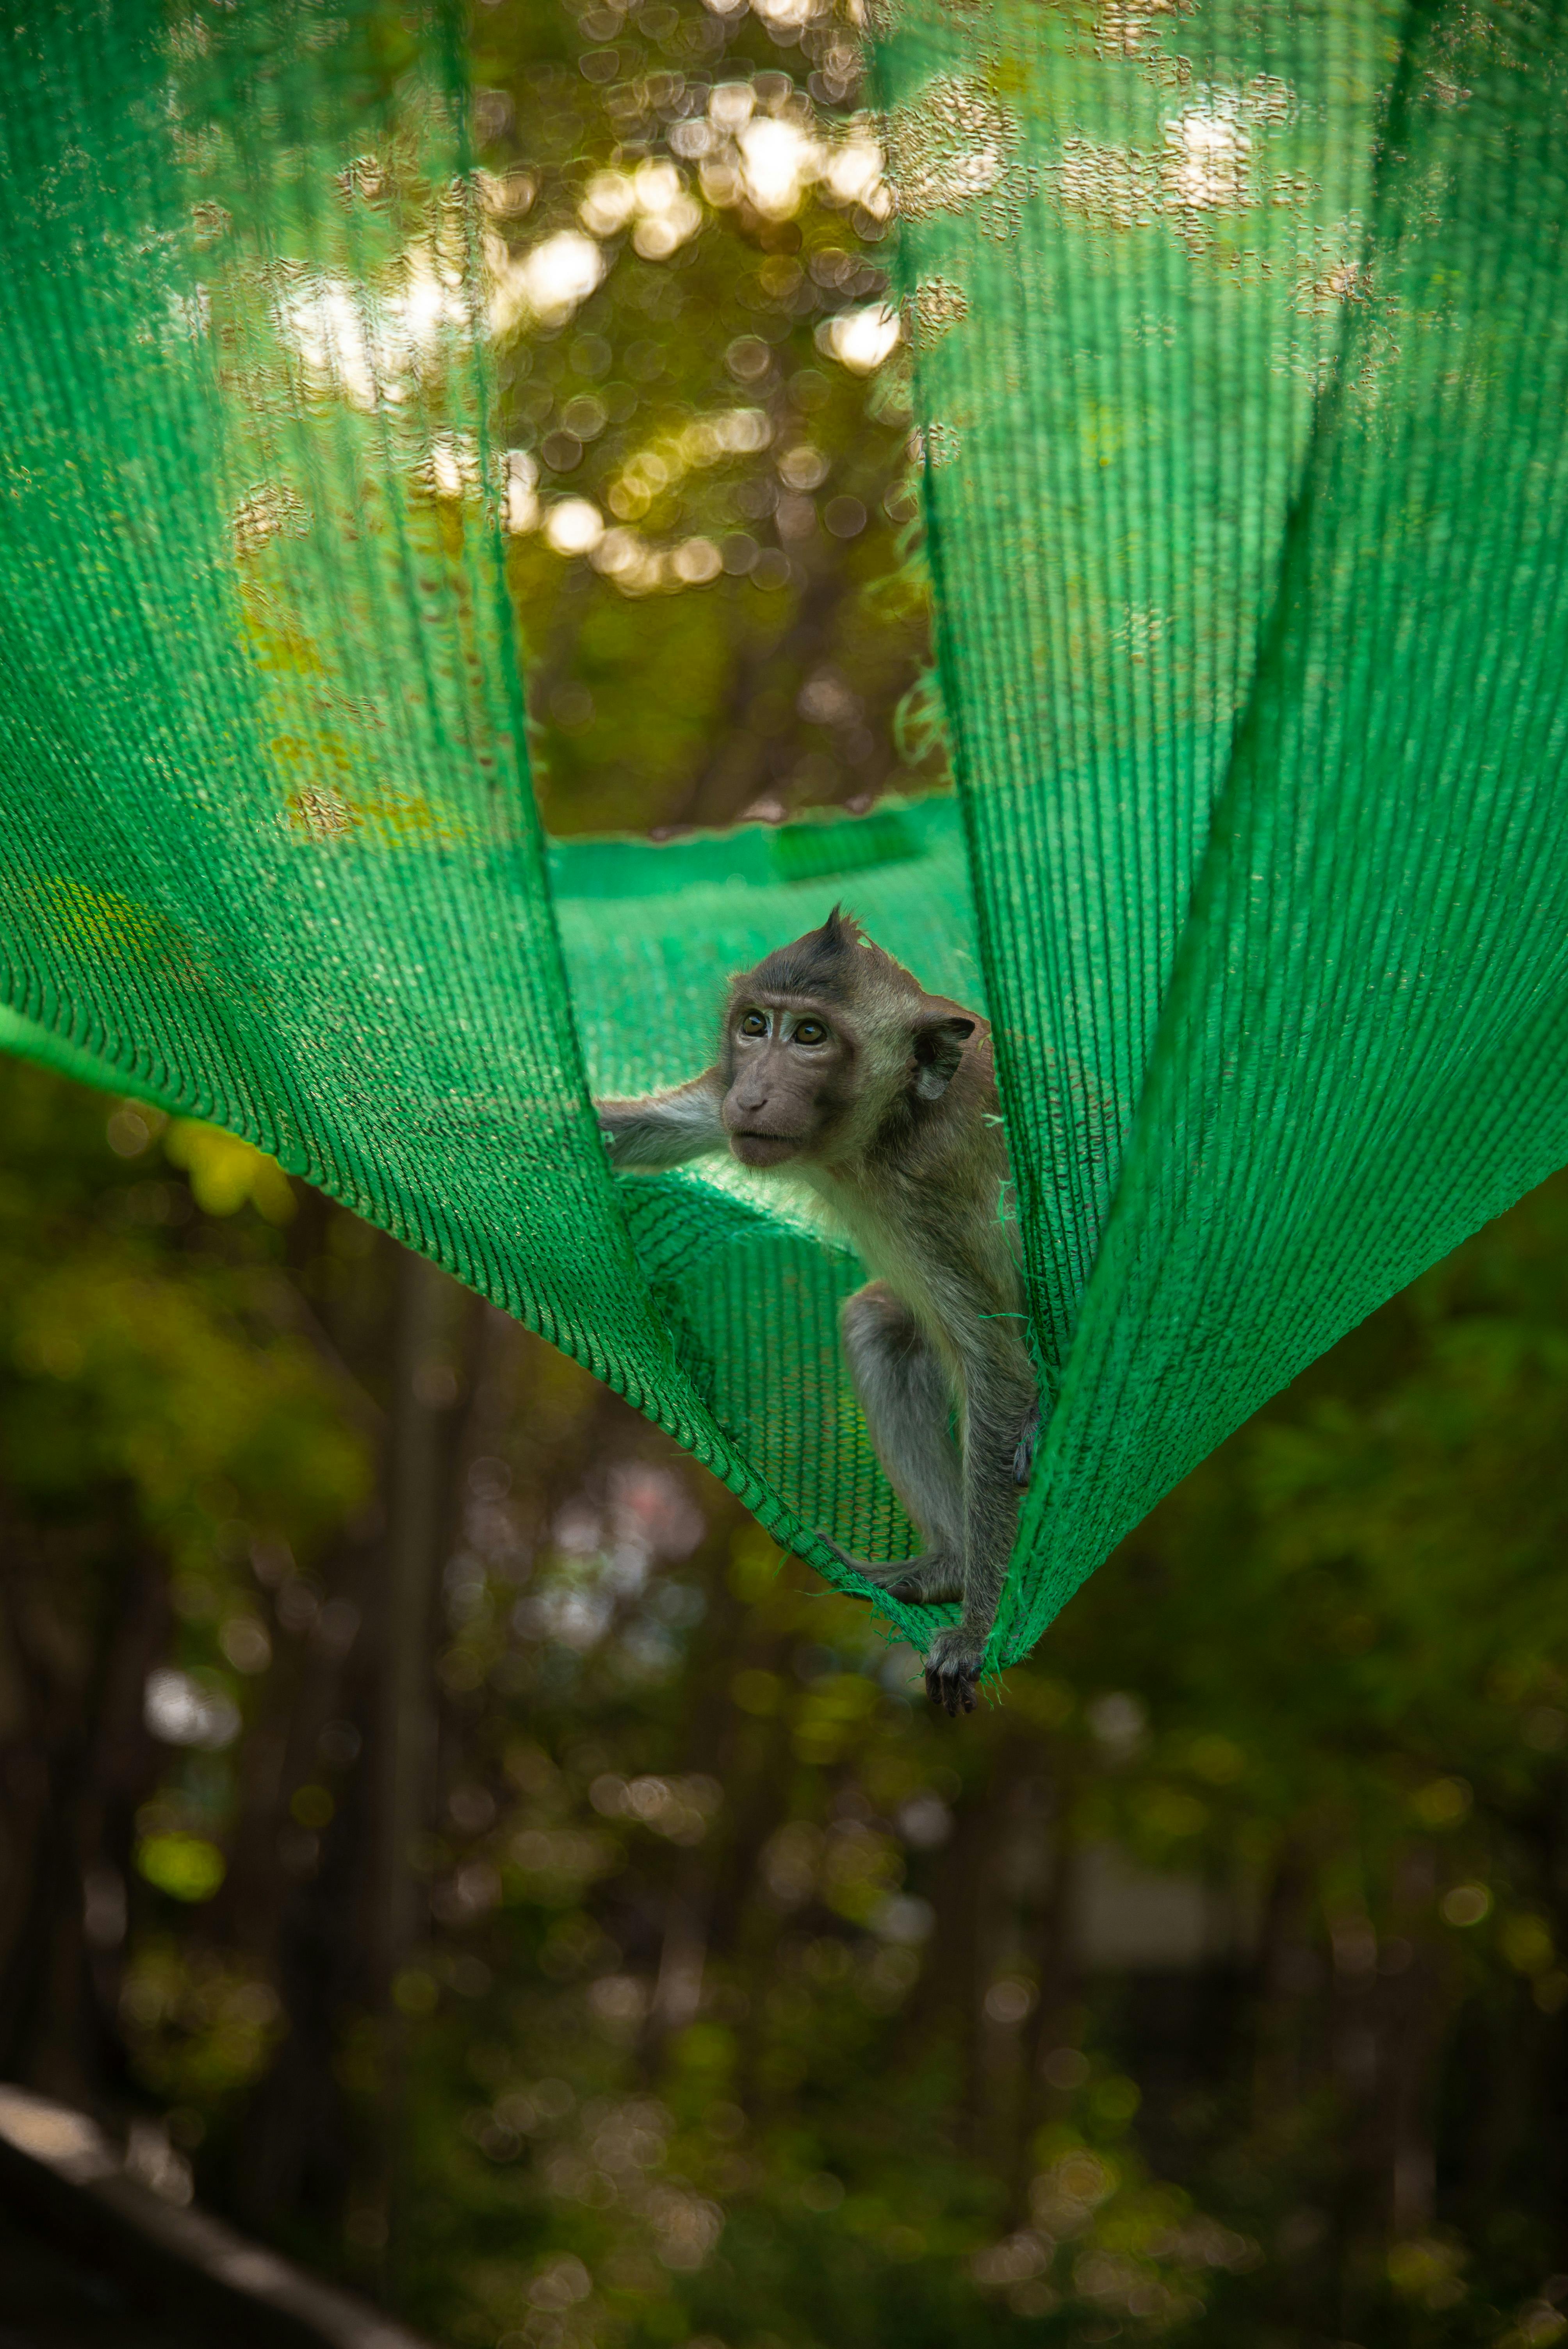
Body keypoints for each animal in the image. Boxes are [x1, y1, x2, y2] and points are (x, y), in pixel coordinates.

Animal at [593, 908, 1038, 1717]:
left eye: (810, 1036)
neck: (881, 1130)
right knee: (879, 1327)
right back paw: (946, 1569)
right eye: (755, 1025)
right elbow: (639, 1130)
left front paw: (980, 1626)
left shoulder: (933, 1188)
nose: (754, 1096)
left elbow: (997, 1366)